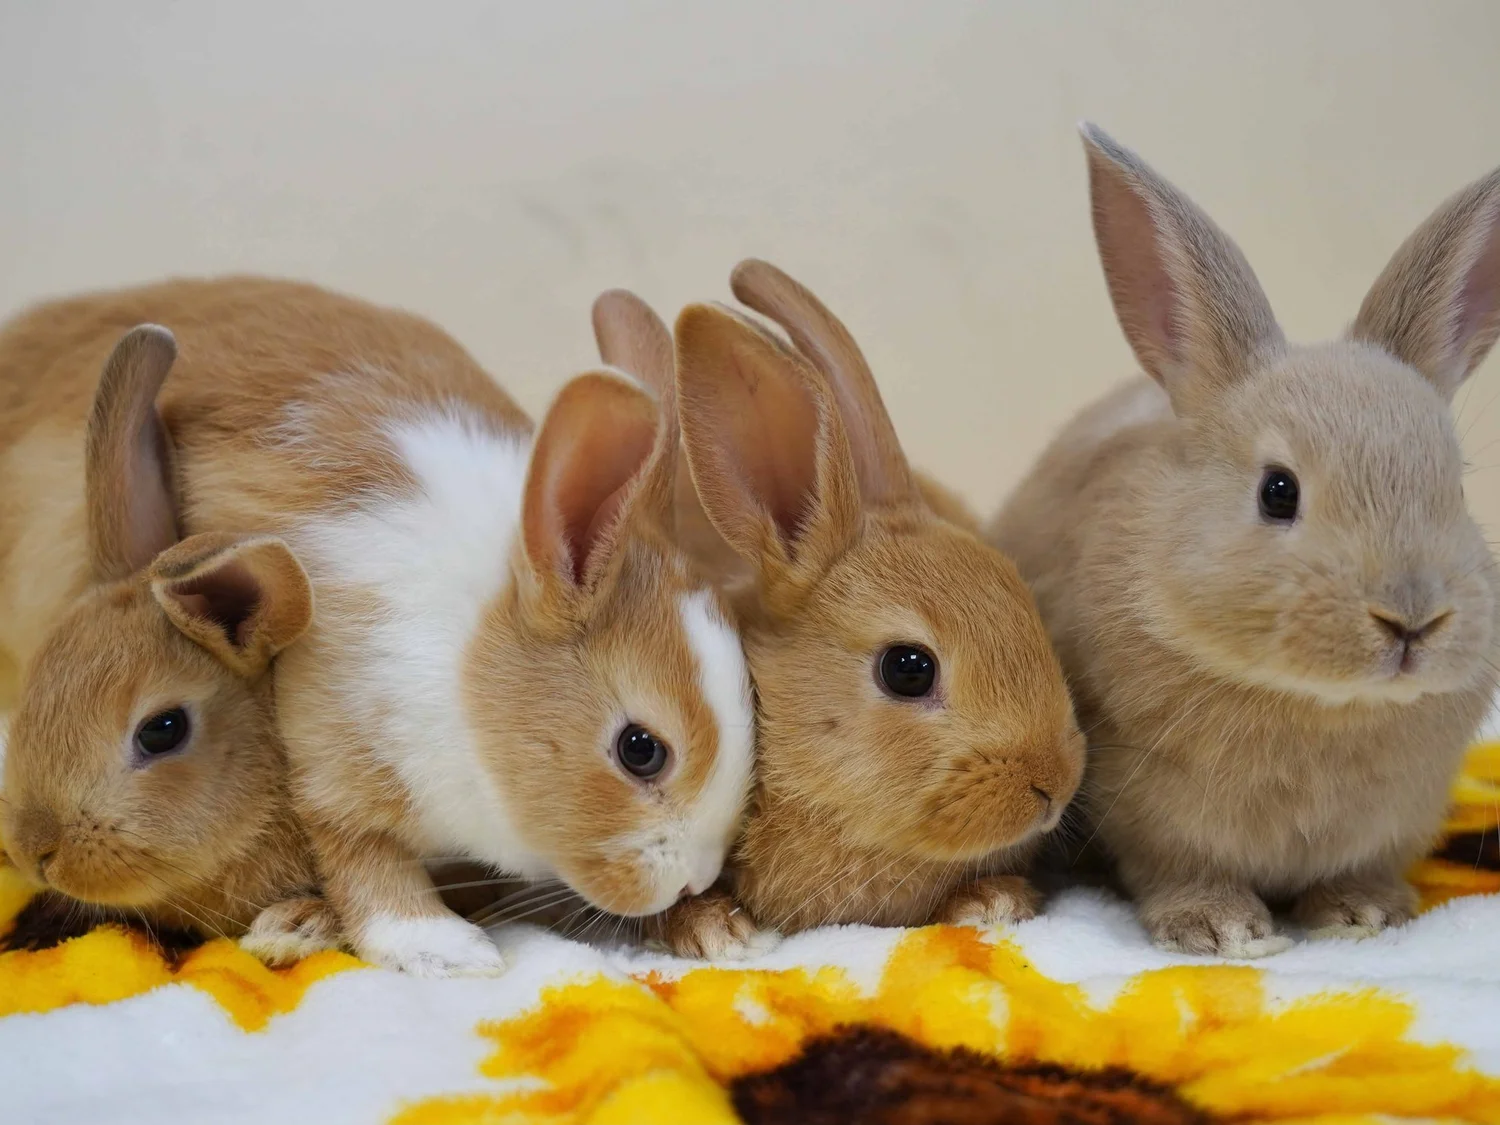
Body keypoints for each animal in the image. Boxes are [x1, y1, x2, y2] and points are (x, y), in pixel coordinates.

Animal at [988, 124, 1500, 957]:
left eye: (1454, 485)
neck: (1322, 704)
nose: (1411, 620)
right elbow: (1182, 869)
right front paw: (1222, 927)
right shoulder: (1154, 817)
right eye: (1278, 492)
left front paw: (1363, 912)